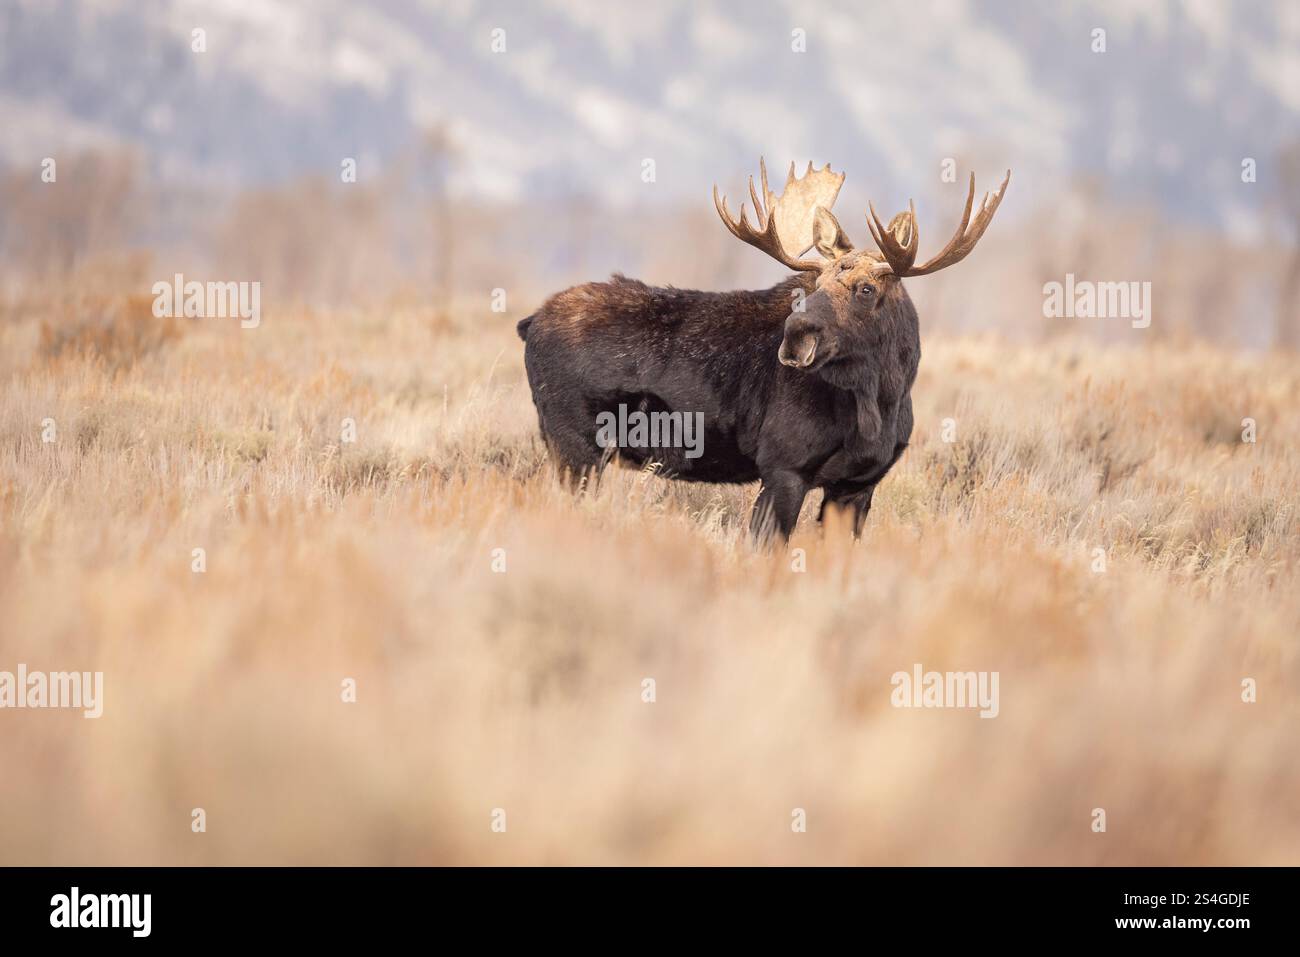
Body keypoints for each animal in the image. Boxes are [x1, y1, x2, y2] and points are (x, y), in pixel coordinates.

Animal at [517, 159, 1009, 542]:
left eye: (866, 289)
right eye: (815, 282)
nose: (795, 336)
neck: (881, 398)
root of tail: (529, 322)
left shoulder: (858, 485)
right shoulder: (783, 468)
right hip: (575, 447)